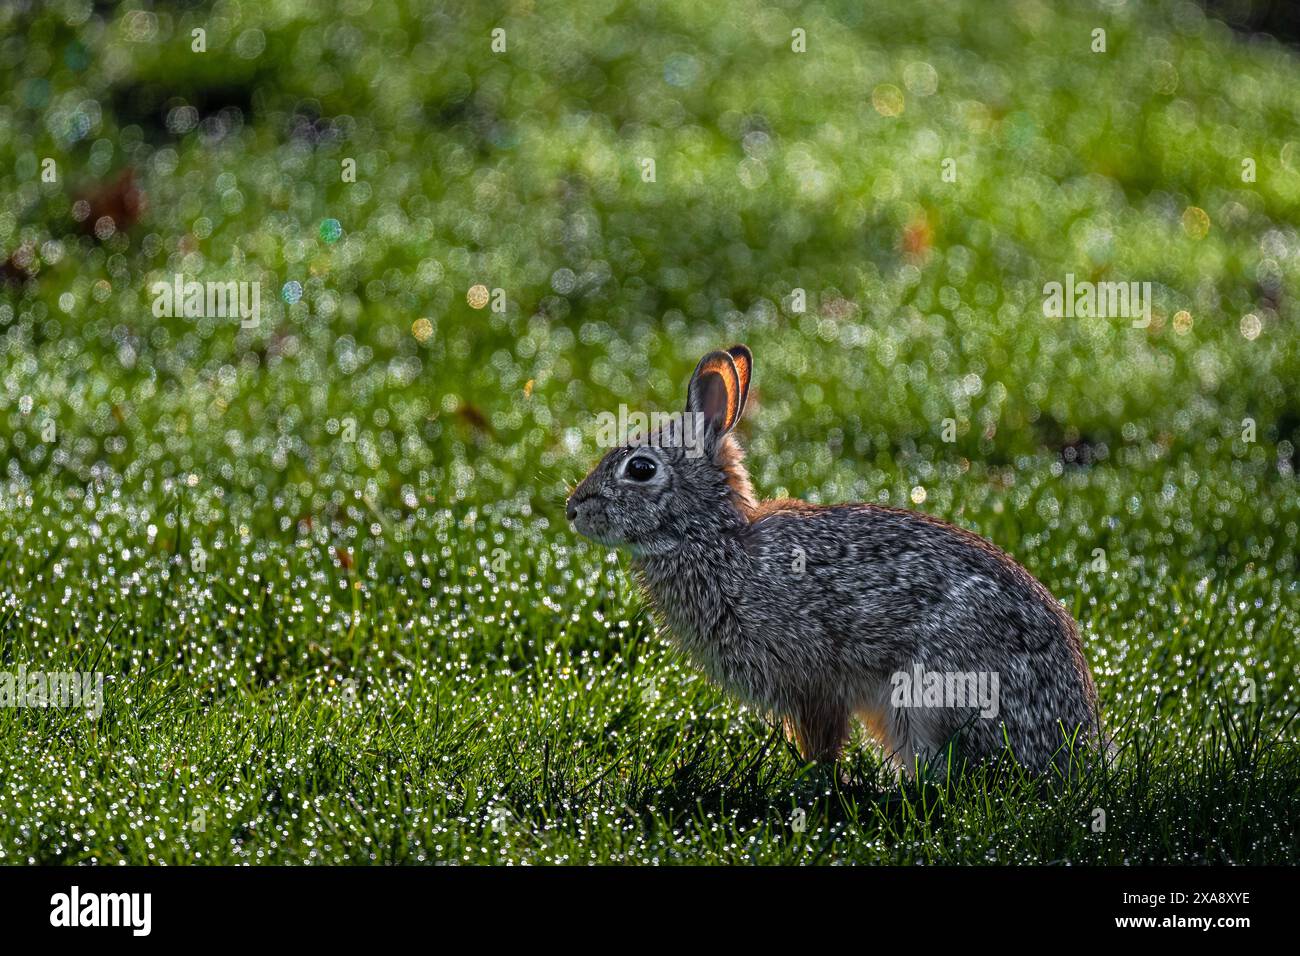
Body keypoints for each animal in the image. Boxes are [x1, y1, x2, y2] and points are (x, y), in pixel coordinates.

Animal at [566, 345, 1104, 775]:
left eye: (640, 469)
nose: (573, 509)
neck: (713, 536)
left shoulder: (813, 681)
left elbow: (820, 738)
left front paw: (812, 777)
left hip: (939, 691)